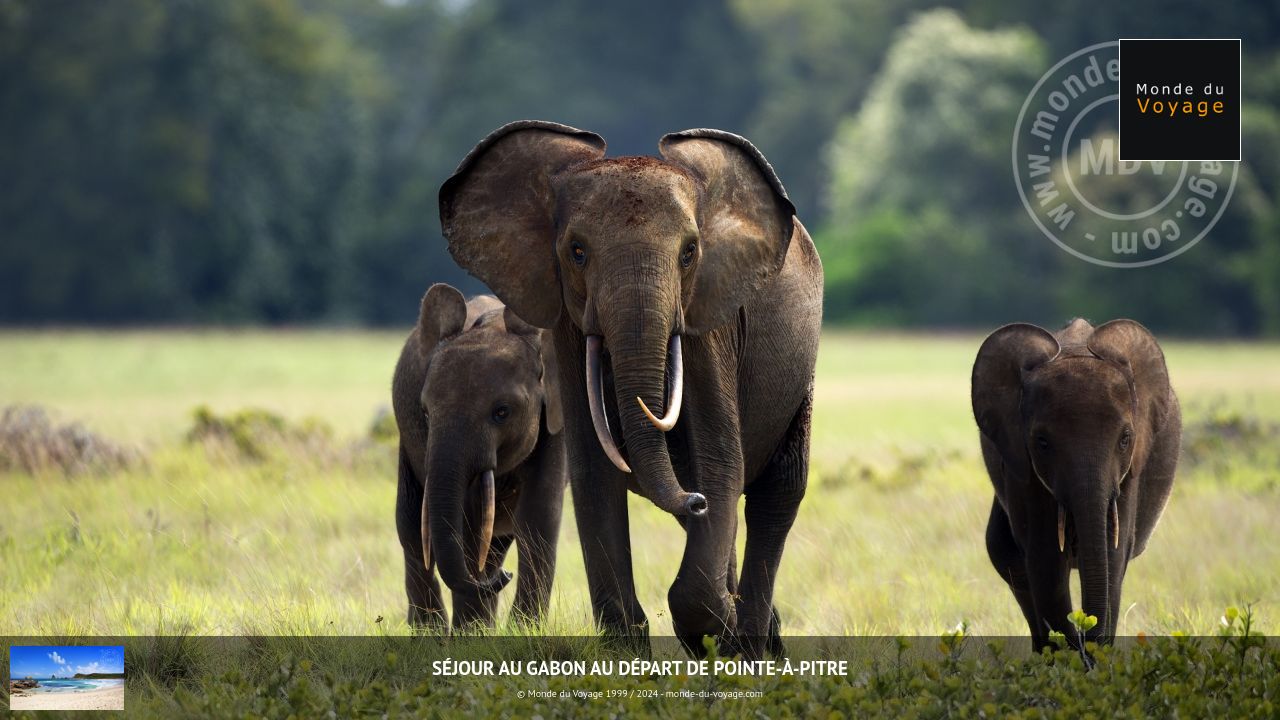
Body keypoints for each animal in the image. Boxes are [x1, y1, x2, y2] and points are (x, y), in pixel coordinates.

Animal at [391, 281, 568, 627]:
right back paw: (431, 629)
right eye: (426, 413)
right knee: (410, 521)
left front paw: (524, 629)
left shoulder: (559, 419)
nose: (504, 577)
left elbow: (538, 513)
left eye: (502, 412)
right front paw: (472, 632)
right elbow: (467, 520)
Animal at [437, 120, 819, 653]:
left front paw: (713, 631)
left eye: (690, 252)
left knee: (777, 493)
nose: (695, 500)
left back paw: (751, 648)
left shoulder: (709, 320)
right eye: (577, 252)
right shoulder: (566, 323)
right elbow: (594, 469)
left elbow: (719, 459)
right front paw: (632, 651)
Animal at [972, 317, 1182, 645]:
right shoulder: (1023, 468)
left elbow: (1112, 555)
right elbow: (1045, 559)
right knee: (1008, 559)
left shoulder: (1130, 473)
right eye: (1042, 443)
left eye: (1125, 439)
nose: (1086, 636)